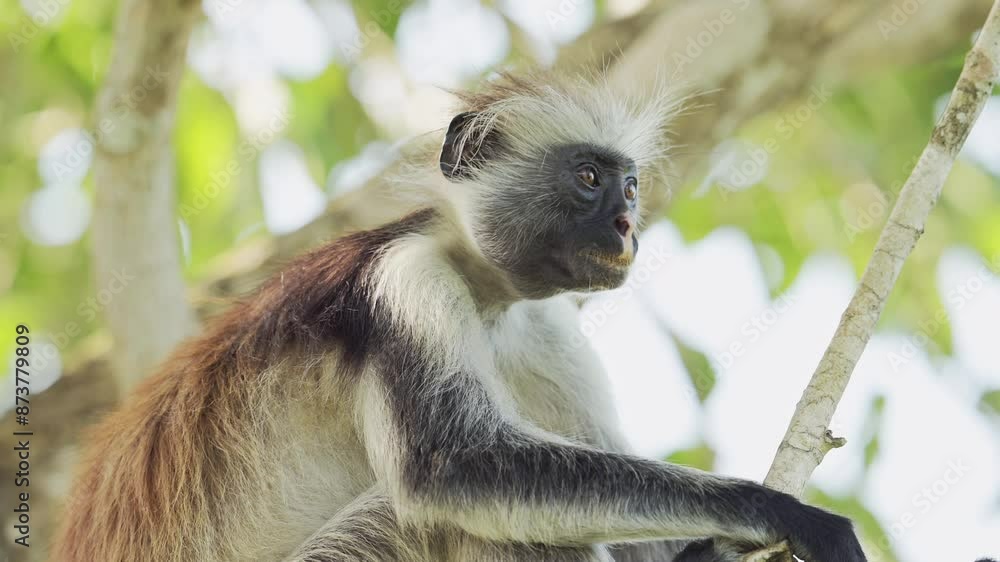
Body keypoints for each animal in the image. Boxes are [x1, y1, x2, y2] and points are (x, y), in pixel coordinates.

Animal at [52, 71, 867, 562]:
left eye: (629, 186)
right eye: (588, 177)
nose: (626, 227)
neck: (485, 296)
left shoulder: (543, 330)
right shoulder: (405, 282)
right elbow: (452, 470)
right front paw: (778, 511)